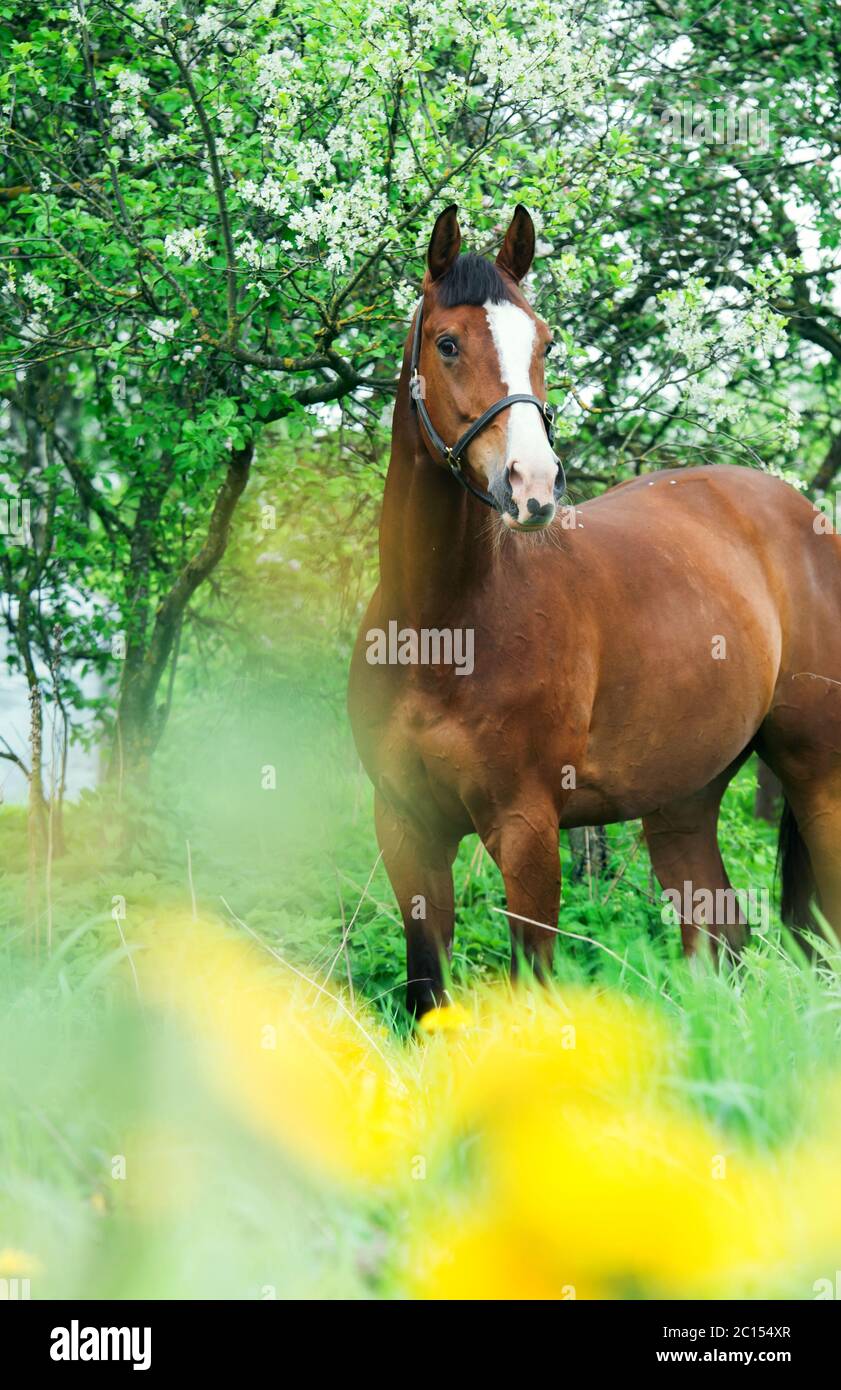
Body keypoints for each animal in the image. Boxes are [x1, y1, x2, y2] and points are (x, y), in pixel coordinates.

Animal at [348, 202, 841, 1018]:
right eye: (447, 343)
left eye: (544, 341)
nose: (534, 486)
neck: (442, 630)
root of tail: (805, 516)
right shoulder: (404, 828)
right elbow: (426, 992)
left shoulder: (526, 829)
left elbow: (532, 982)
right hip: (682, 799)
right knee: (719, 938)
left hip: (818, 776)